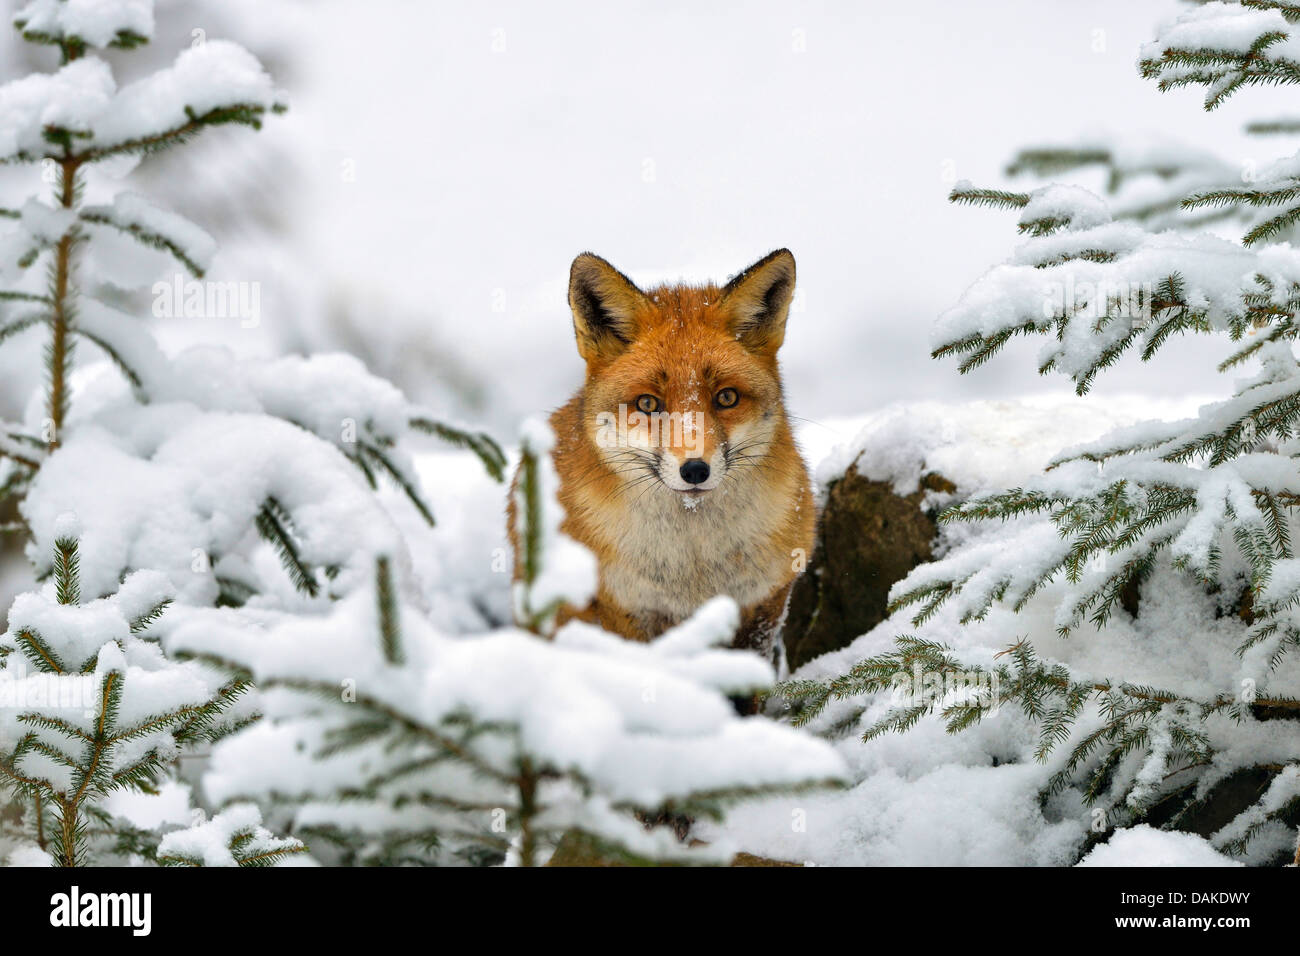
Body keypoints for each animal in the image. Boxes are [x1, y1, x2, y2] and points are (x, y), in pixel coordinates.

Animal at [509, 249, 815, 660]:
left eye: (726, 397)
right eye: (648, 403)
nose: (696, 470)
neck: (692, 567)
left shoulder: (765, 603)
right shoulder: (624, 611)